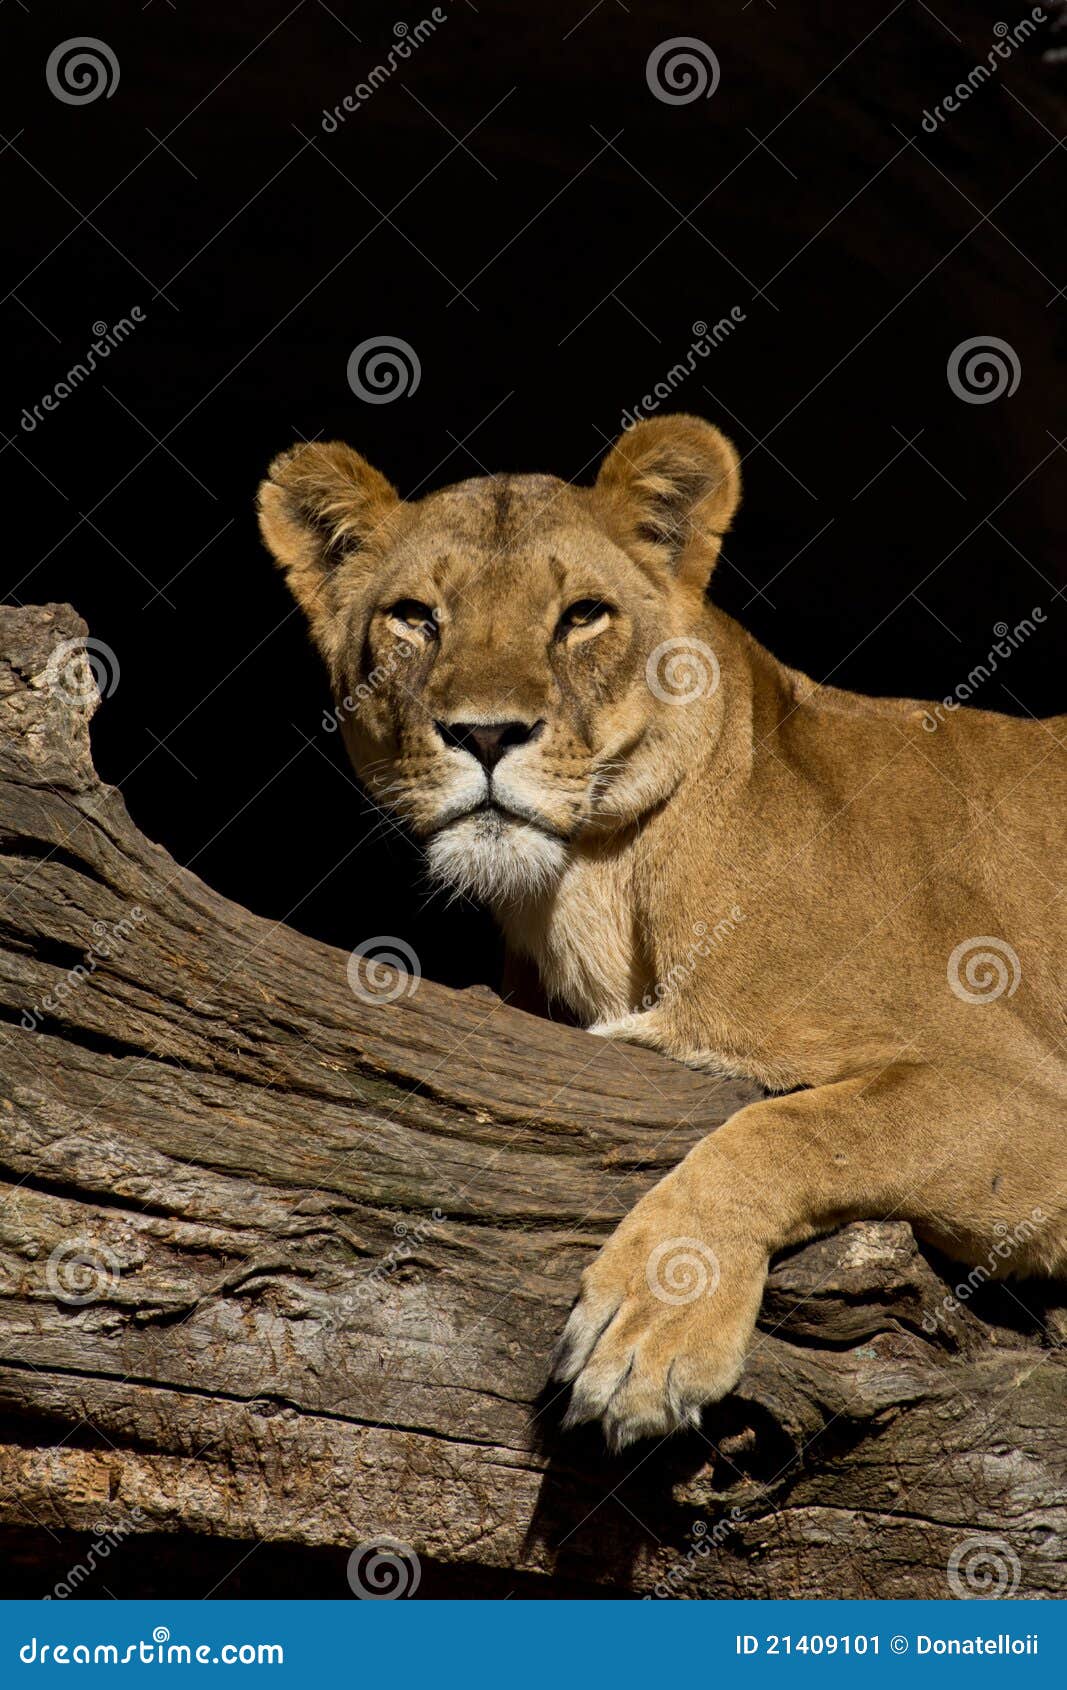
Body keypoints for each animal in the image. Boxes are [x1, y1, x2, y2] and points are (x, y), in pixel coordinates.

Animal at [258, 414, 1067, 1450]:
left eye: (581, 616)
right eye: (414, 617)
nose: (485, 735)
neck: (597, 893)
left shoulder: (1026, 1091)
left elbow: (796, 1126)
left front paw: (650, 1328)